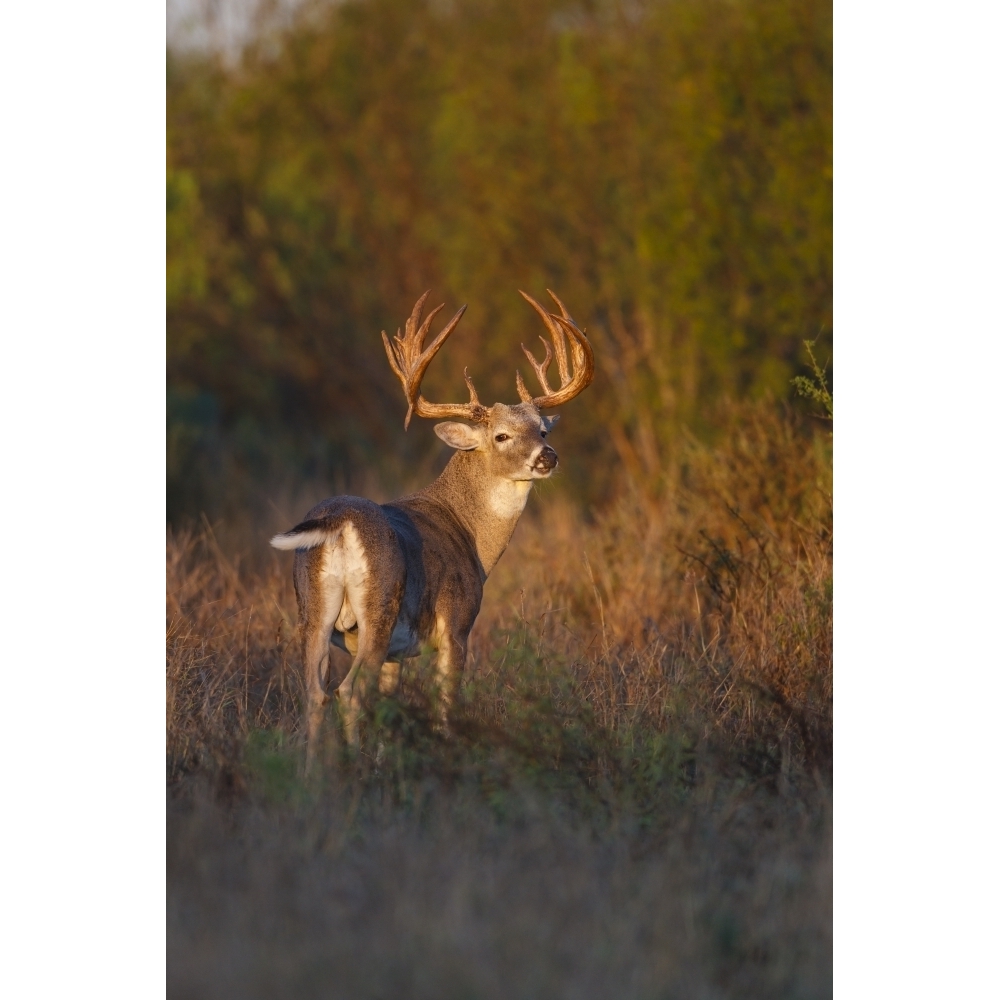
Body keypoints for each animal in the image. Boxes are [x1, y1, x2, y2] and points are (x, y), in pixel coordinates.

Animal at [270, 289, 594, 767]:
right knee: (349, 692)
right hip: (378, 606)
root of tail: (339, 521)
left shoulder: (396, 652)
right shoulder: (457, 625)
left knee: (316, 692)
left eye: (542, 429)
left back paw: (312, 775)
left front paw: (384, 759)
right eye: (500, 436)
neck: (470, 534)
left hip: (312, 608)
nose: (547, 457)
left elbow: (389, 704)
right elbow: (446, 710)